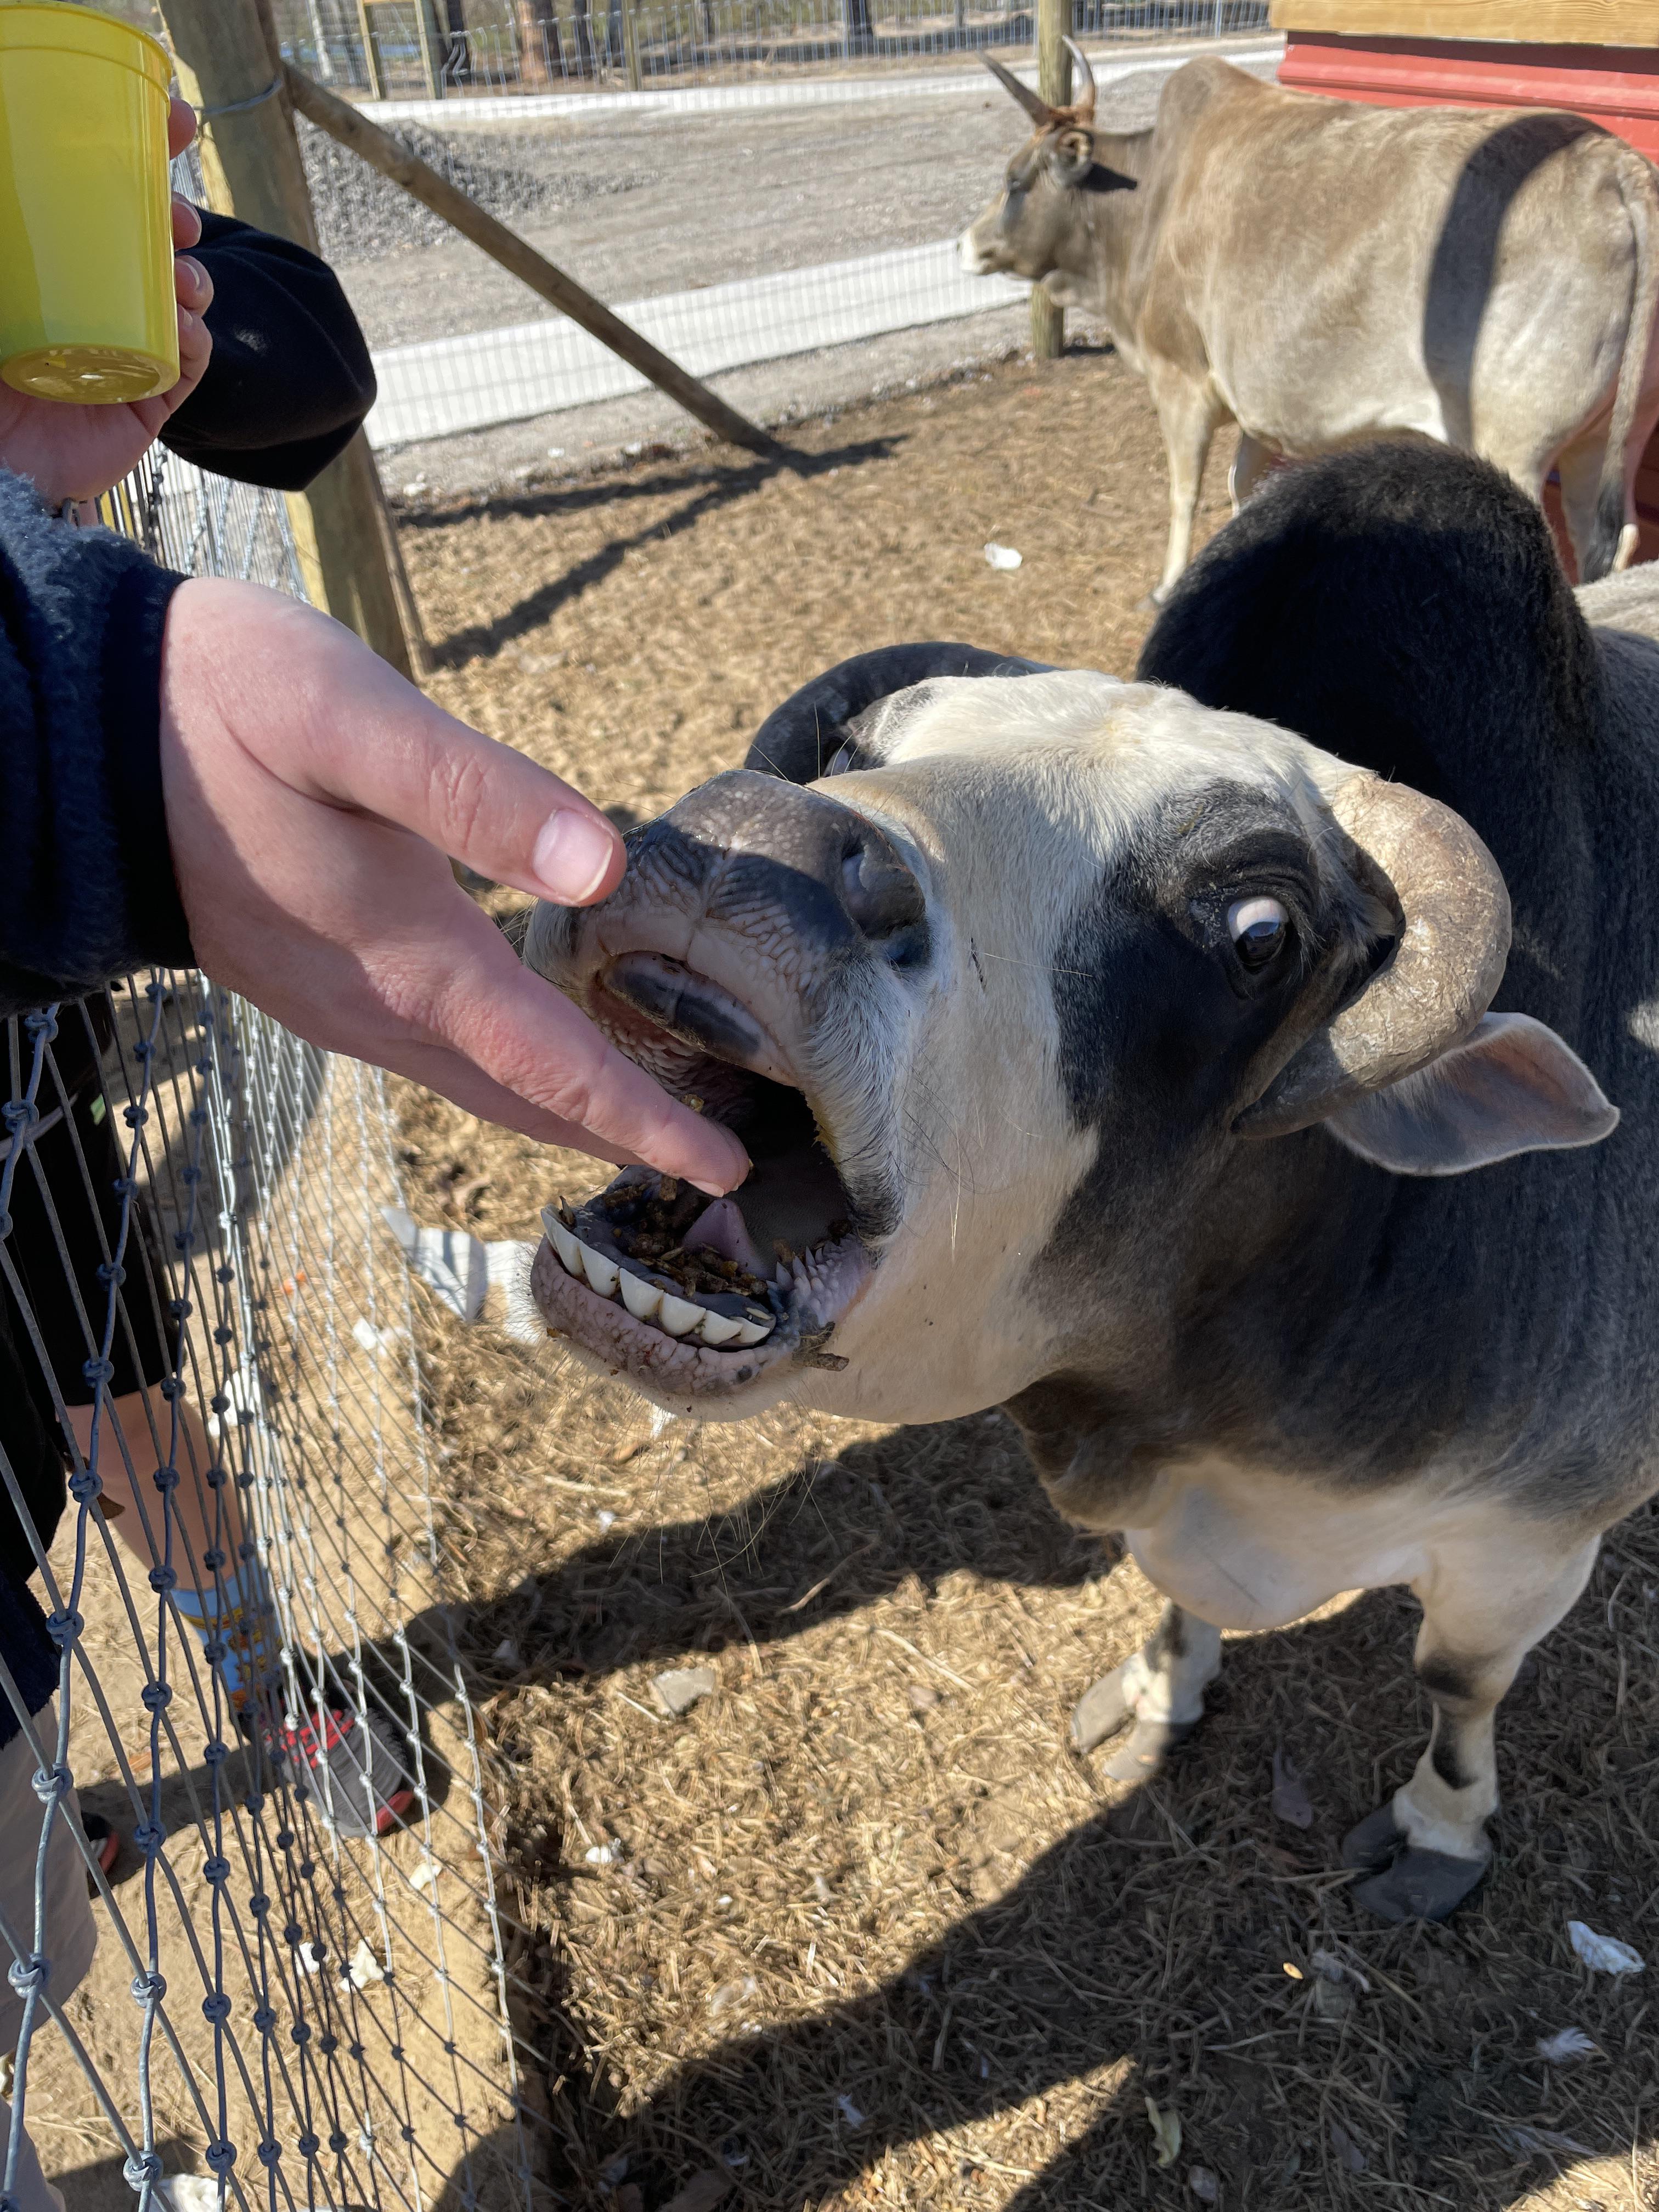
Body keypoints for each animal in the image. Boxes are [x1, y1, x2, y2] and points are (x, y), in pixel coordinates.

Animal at [520, 443, 1659, 1923]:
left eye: (1258, 933)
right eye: (857, 754)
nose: (743, 842)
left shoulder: (1527, 1545)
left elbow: (1456, 1684)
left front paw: (1443, 1829)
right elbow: (1178, 1601)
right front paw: (1162, 1695)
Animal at [960, 47, 1659, 602]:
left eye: (1015, 181)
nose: (969, 245)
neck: (1146, 202)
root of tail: (1615, 164)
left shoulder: (1180, 379)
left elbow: (1184, 493)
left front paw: (1166, 588)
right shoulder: (1255, 411)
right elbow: (1244, 488)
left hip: (1513, 443)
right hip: (1607, 438)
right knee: (1610, 539)